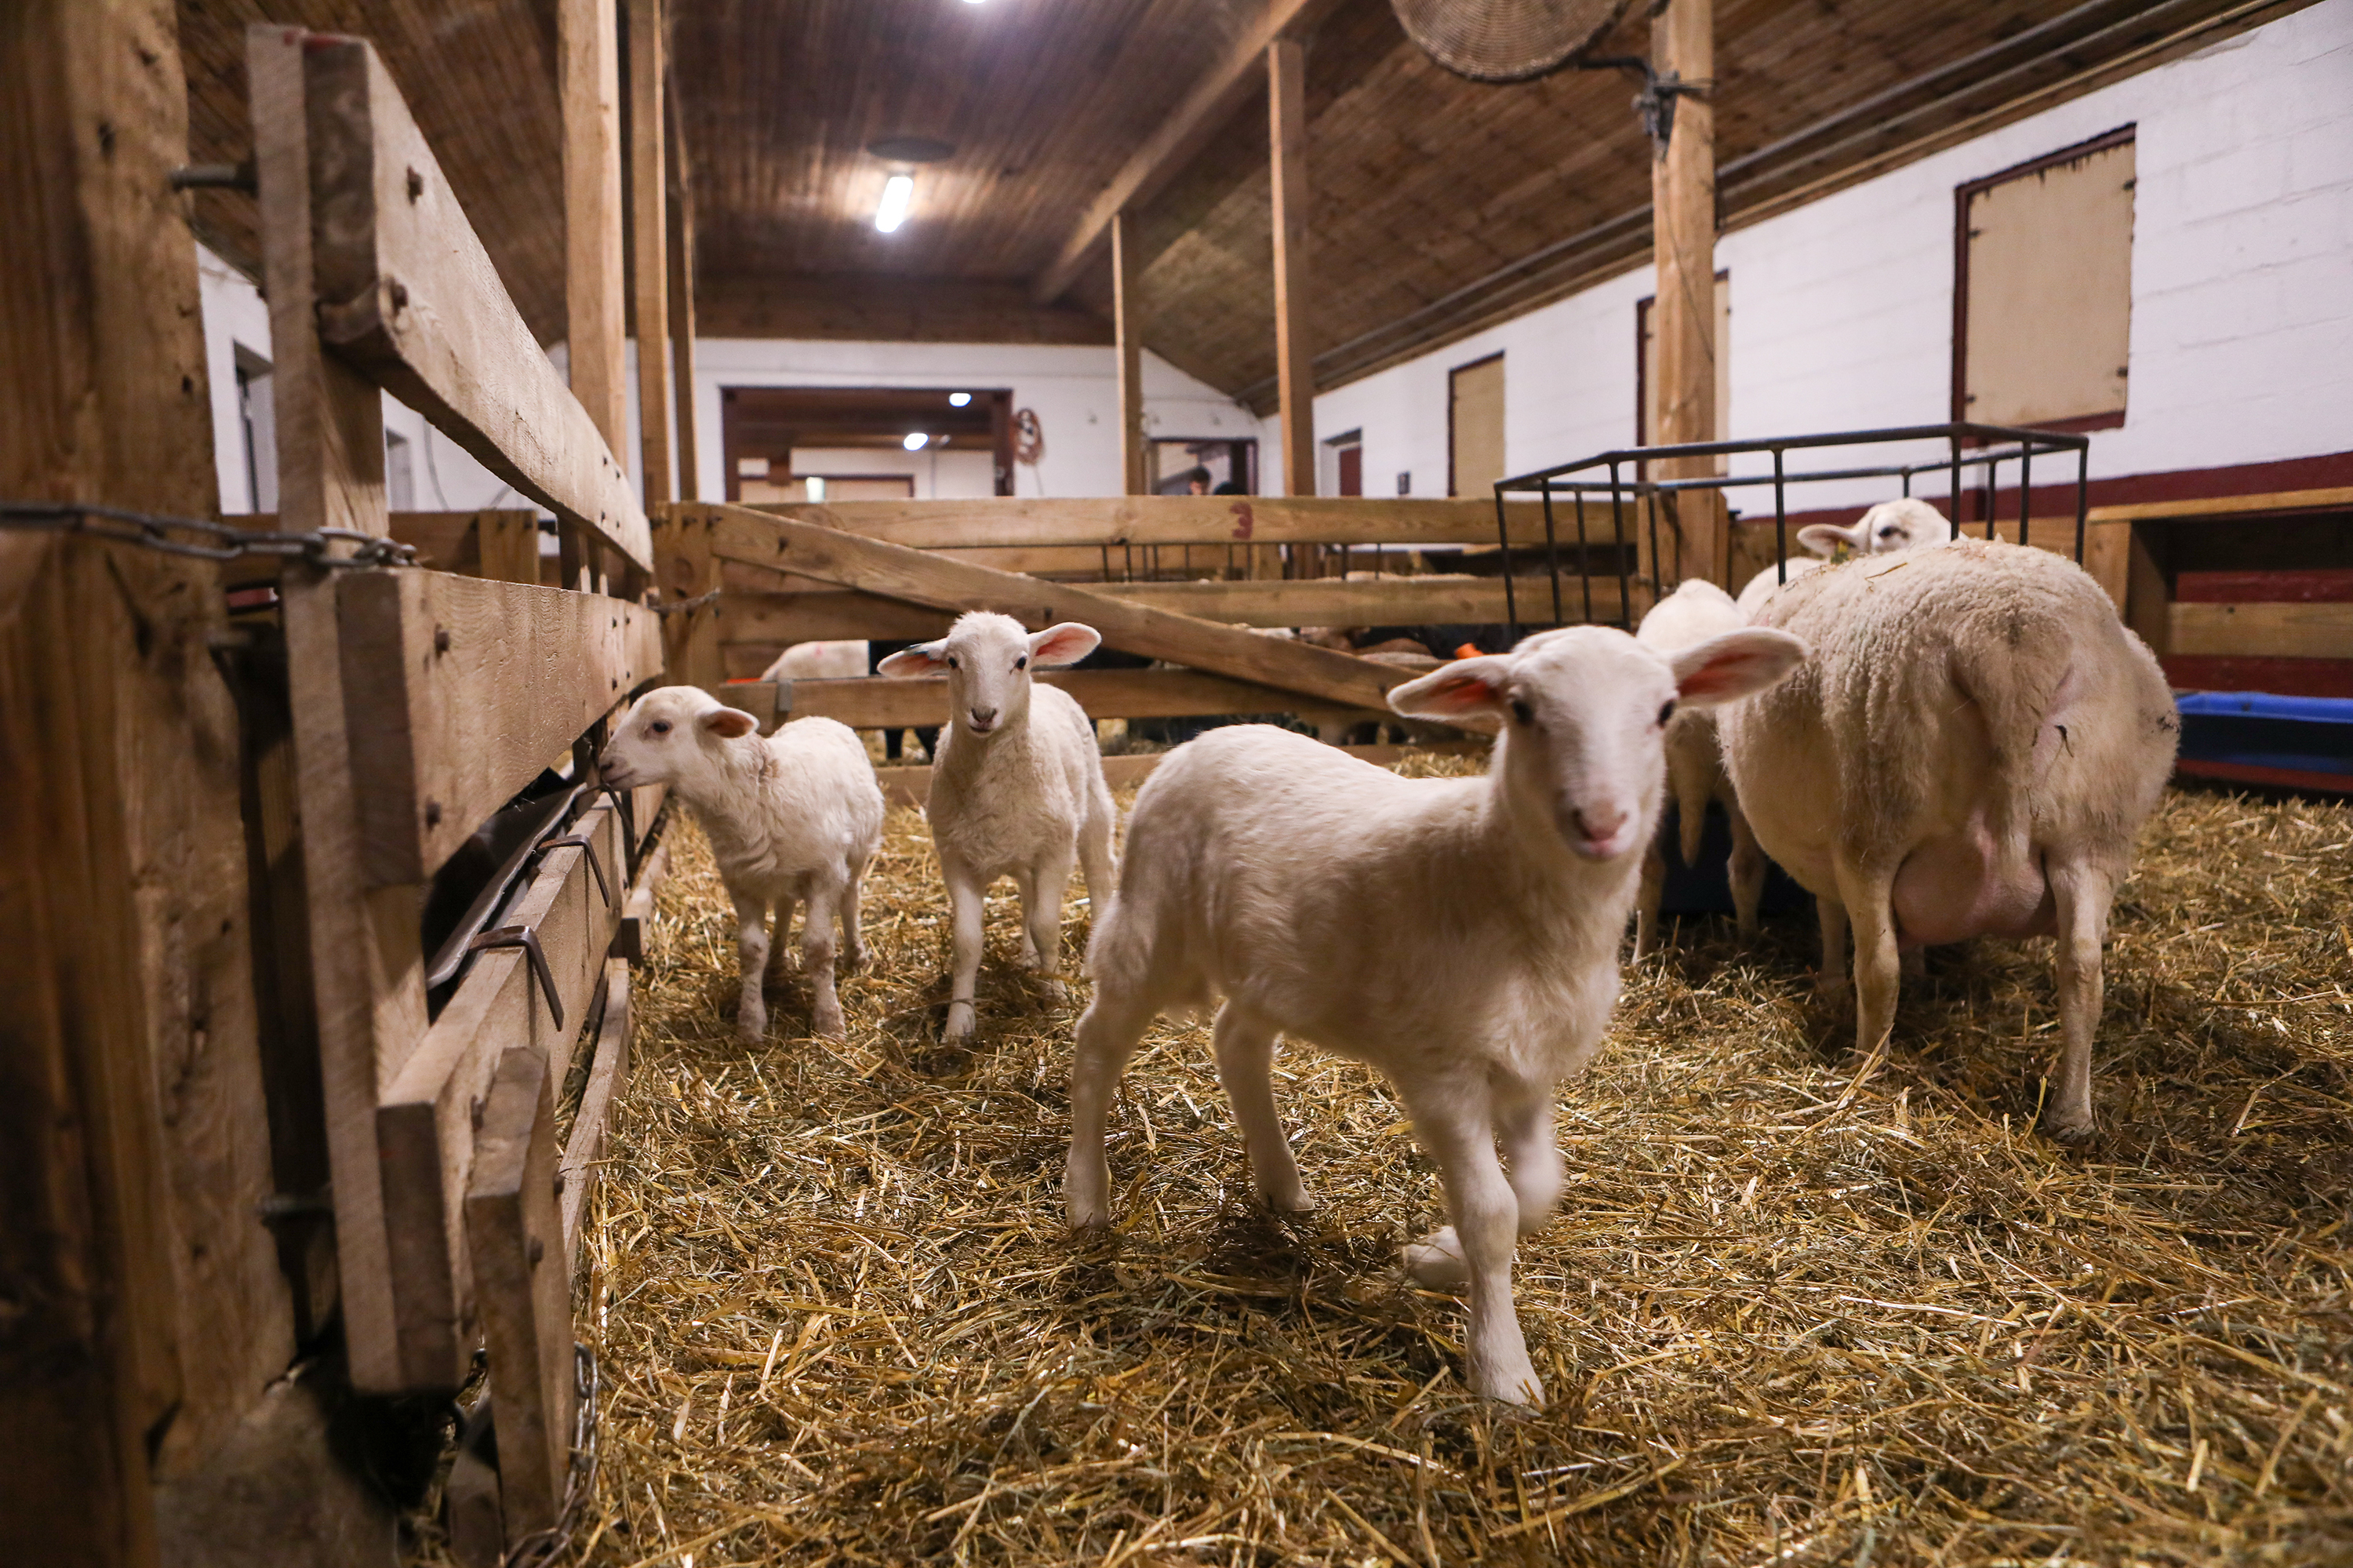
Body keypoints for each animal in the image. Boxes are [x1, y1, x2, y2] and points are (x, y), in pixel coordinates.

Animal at [599, 686, 884, 1041]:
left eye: (661, 726)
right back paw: (777, 961)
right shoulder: (740, 880)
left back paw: (856, 954)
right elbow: (750, 950)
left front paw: (830, 1022)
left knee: (850, 898)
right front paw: (750, 1024)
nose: (604, 765)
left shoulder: (825, 872)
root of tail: (819, 716)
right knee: (786, 905)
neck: (760, 791)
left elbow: (818, 948)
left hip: (856, 854)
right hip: (780, 872)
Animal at [879, 613, 1118, 1040]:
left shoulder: (1055, 850)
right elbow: (967, 944)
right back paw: (1028, 959)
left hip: (1092, 807)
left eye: (1020, 661)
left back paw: (1090, 962)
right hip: (1022, 850)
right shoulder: (954, 857)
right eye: (953, 662)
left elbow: (1047, 926)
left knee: (1099, 876)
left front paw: (1056, 995)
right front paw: (958, 1024)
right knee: (1027, 895)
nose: (983, 714)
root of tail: (1050, 686)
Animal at [1062, 623, 1807, 1403]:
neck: (1493, 878)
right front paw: (1503, 1371)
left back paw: (1285, 1187)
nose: (1600, 822)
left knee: (1235, 1040)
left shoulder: (1528, 1063)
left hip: (1277, 966)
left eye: (1665, 711)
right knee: (1096, 1045)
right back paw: (1087, 1198)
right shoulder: (1440, 1068)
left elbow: (1538, 1189)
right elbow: (1492, 1212)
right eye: (1521, 709)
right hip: (1150, 922)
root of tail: (1207, 737)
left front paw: (1433, 1259)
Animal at [1632, 579, 1771, 956]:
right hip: (1737, 789)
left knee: (1649, 871)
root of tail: (1686, 726)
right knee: (1745, 865)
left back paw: (1643, 952)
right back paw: (1749, 942)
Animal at [1719, 539, 2178, 1141]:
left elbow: (1827, 916)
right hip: (2094, 834)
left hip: (1875, 819)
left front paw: (1832, 982)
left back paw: (1861, 1080)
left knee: (1879, 970)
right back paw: (2072, 1114)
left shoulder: (1835, 849)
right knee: (2082, 969)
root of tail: (2010, 641)